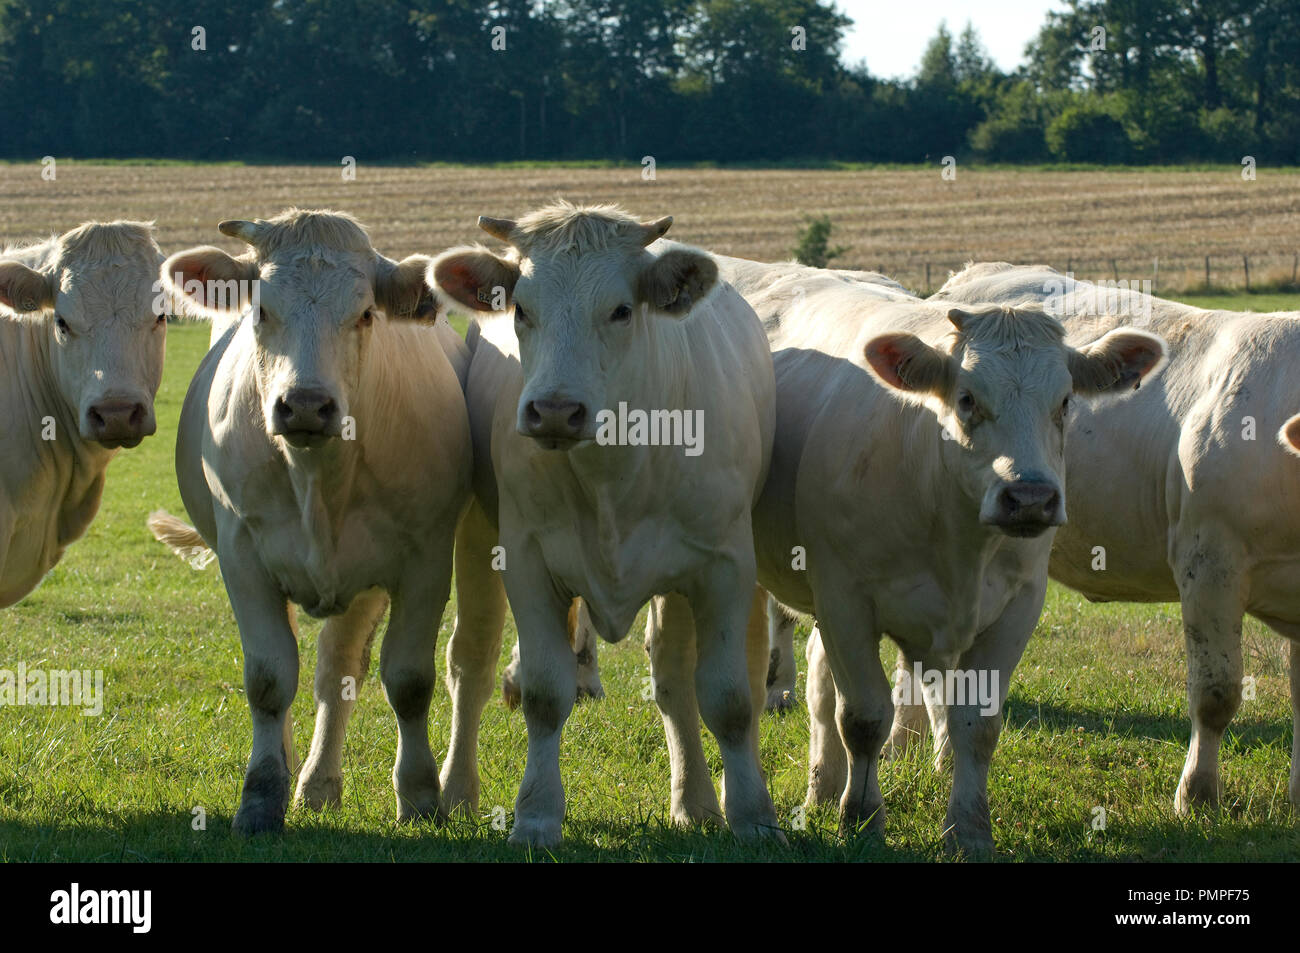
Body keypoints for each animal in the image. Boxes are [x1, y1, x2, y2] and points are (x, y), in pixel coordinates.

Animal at [148, 209, 472, 835]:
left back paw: (319, 782)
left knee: (337, 671)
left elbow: (408, 681)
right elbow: (269, 679)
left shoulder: (424, 559)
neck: (318, 479)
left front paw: (420, 796)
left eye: (365, 313)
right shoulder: (242, 556)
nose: (304, 405)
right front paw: (259, 798)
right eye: (260, 310)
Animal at [429, 202, 780, 847]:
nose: (554, 410)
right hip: (476, 533)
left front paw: (753, 816)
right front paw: (536, 815)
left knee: (673, 678)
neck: (613, 470)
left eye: (620, 309)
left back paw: (695, 802)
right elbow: (545, 692)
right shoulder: (528, 561)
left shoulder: (723, 567)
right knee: (471, 660)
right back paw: (456, 790)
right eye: (521, 307)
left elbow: (728, 698)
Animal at [709, 254, 1165, 853]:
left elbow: (977, 725)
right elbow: (864, 718)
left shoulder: (1018, 606)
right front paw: (862, 820)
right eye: (967, 399)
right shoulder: (845, 600)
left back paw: (822, 787)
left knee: (820, 682)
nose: (1030, 498)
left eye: (1065, 402)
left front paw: (969, 830)